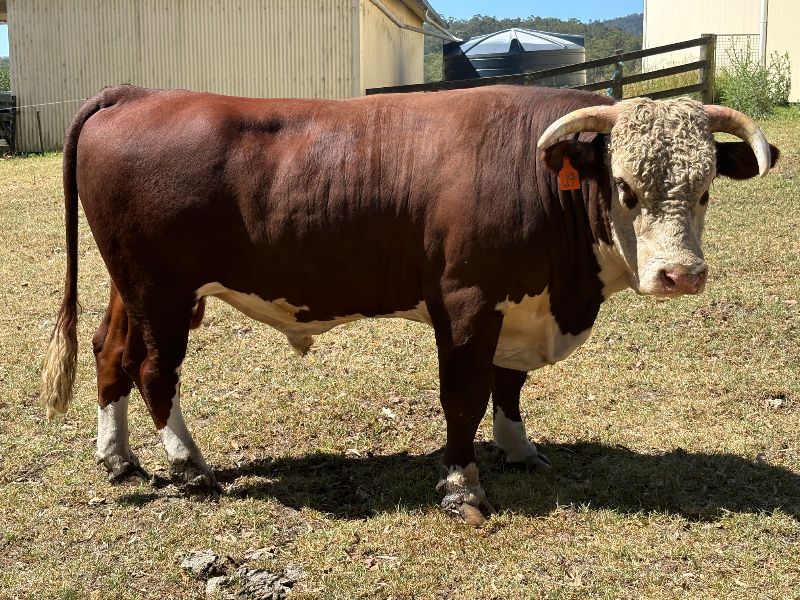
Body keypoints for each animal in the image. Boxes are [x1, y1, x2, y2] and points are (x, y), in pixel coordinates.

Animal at [41, 84, 778, 526]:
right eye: (625, 187)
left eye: (707, 188)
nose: (680, 274)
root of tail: (140, 92)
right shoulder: (467, 303)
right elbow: (464, 397)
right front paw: (462, 487)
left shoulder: (519, 303)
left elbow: (508, 386)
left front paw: (518, 448)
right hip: (162, 291)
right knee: (154, 370)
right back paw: (189, 465)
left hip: (131, 285)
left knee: (112, 354)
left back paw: (118, 458)